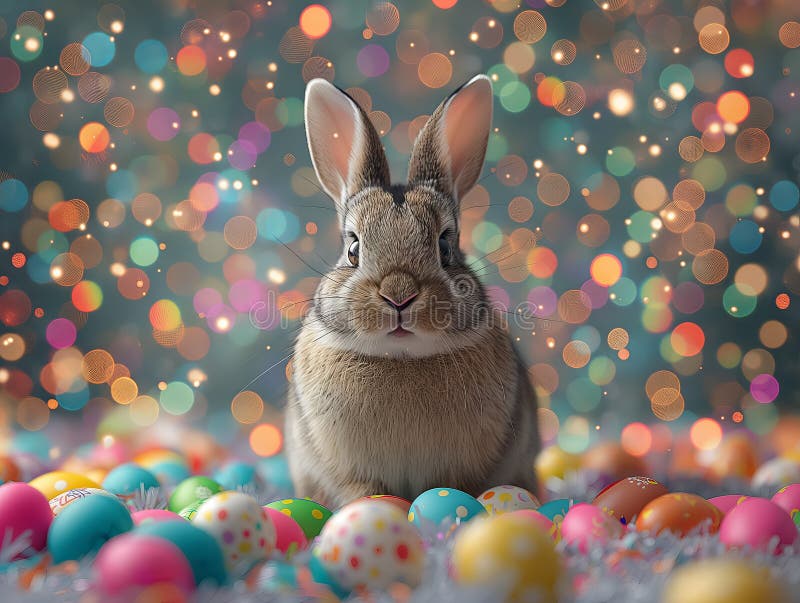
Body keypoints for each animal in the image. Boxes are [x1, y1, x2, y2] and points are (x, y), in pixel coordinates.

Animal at [283, 75, 540, 509]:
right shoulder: (347, 470)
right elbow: (360, 492)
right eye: (353, 249)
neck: (400, 357)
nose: (398, 295)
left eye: (445, 246)